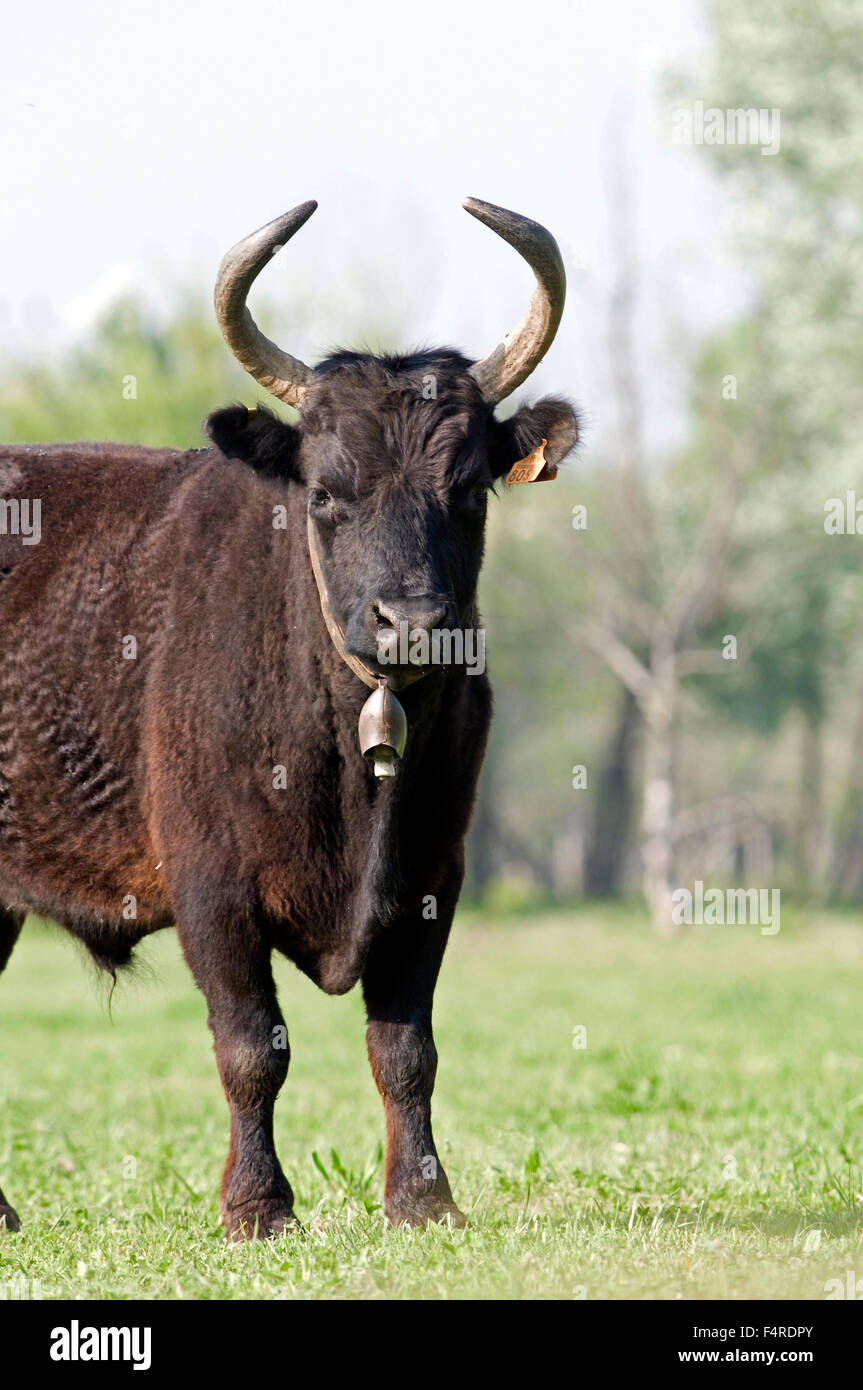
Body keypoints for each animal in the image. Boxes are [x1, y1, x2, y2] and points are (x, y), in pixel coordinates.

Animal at [0, 197, 578, 1239]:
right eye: (325, 492)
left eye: (469, 490)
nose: (411, 621)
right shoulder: (212, 891)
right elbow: (251, 1049)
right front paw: (257, 1206)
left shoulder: (433, 877)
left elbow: (406, 1051)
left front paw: (422, 1199)